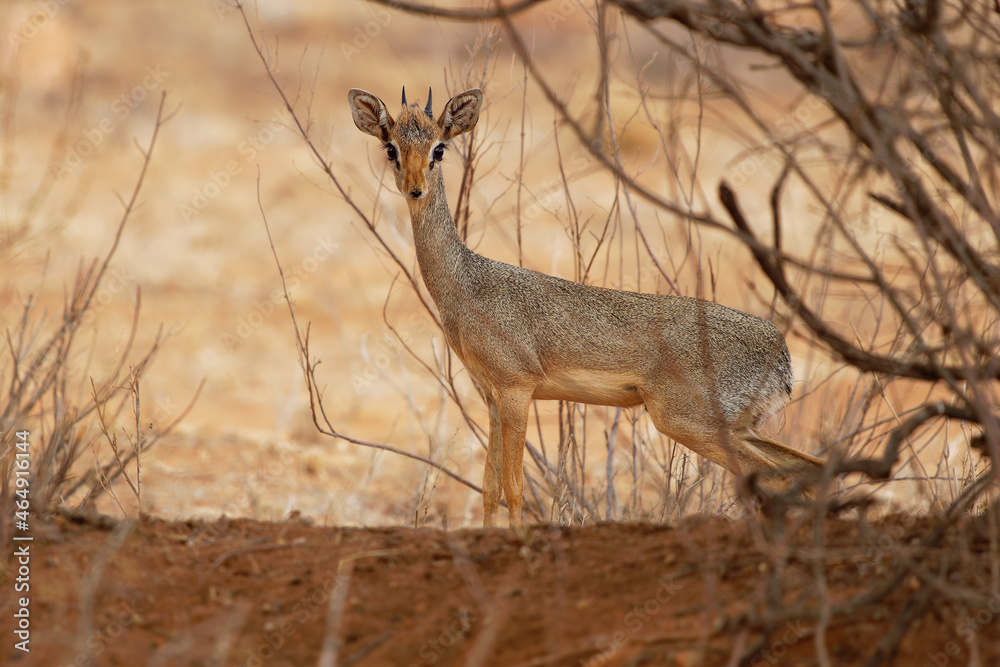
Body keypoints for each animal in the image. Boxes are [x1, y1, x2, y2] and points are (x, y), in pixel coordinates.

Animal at [347, 86, 825, 527]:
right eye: (391, 148)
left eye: (439, 148)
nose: (415, 189)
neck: (467, 285)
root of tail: (779, 350)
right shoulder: (492, 399)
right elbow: (488, 489)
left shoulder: (516, 390)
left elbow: (514, 489)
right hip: (737, 427)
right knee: (811, 469)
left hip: (689, 422)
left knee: (780, 476)